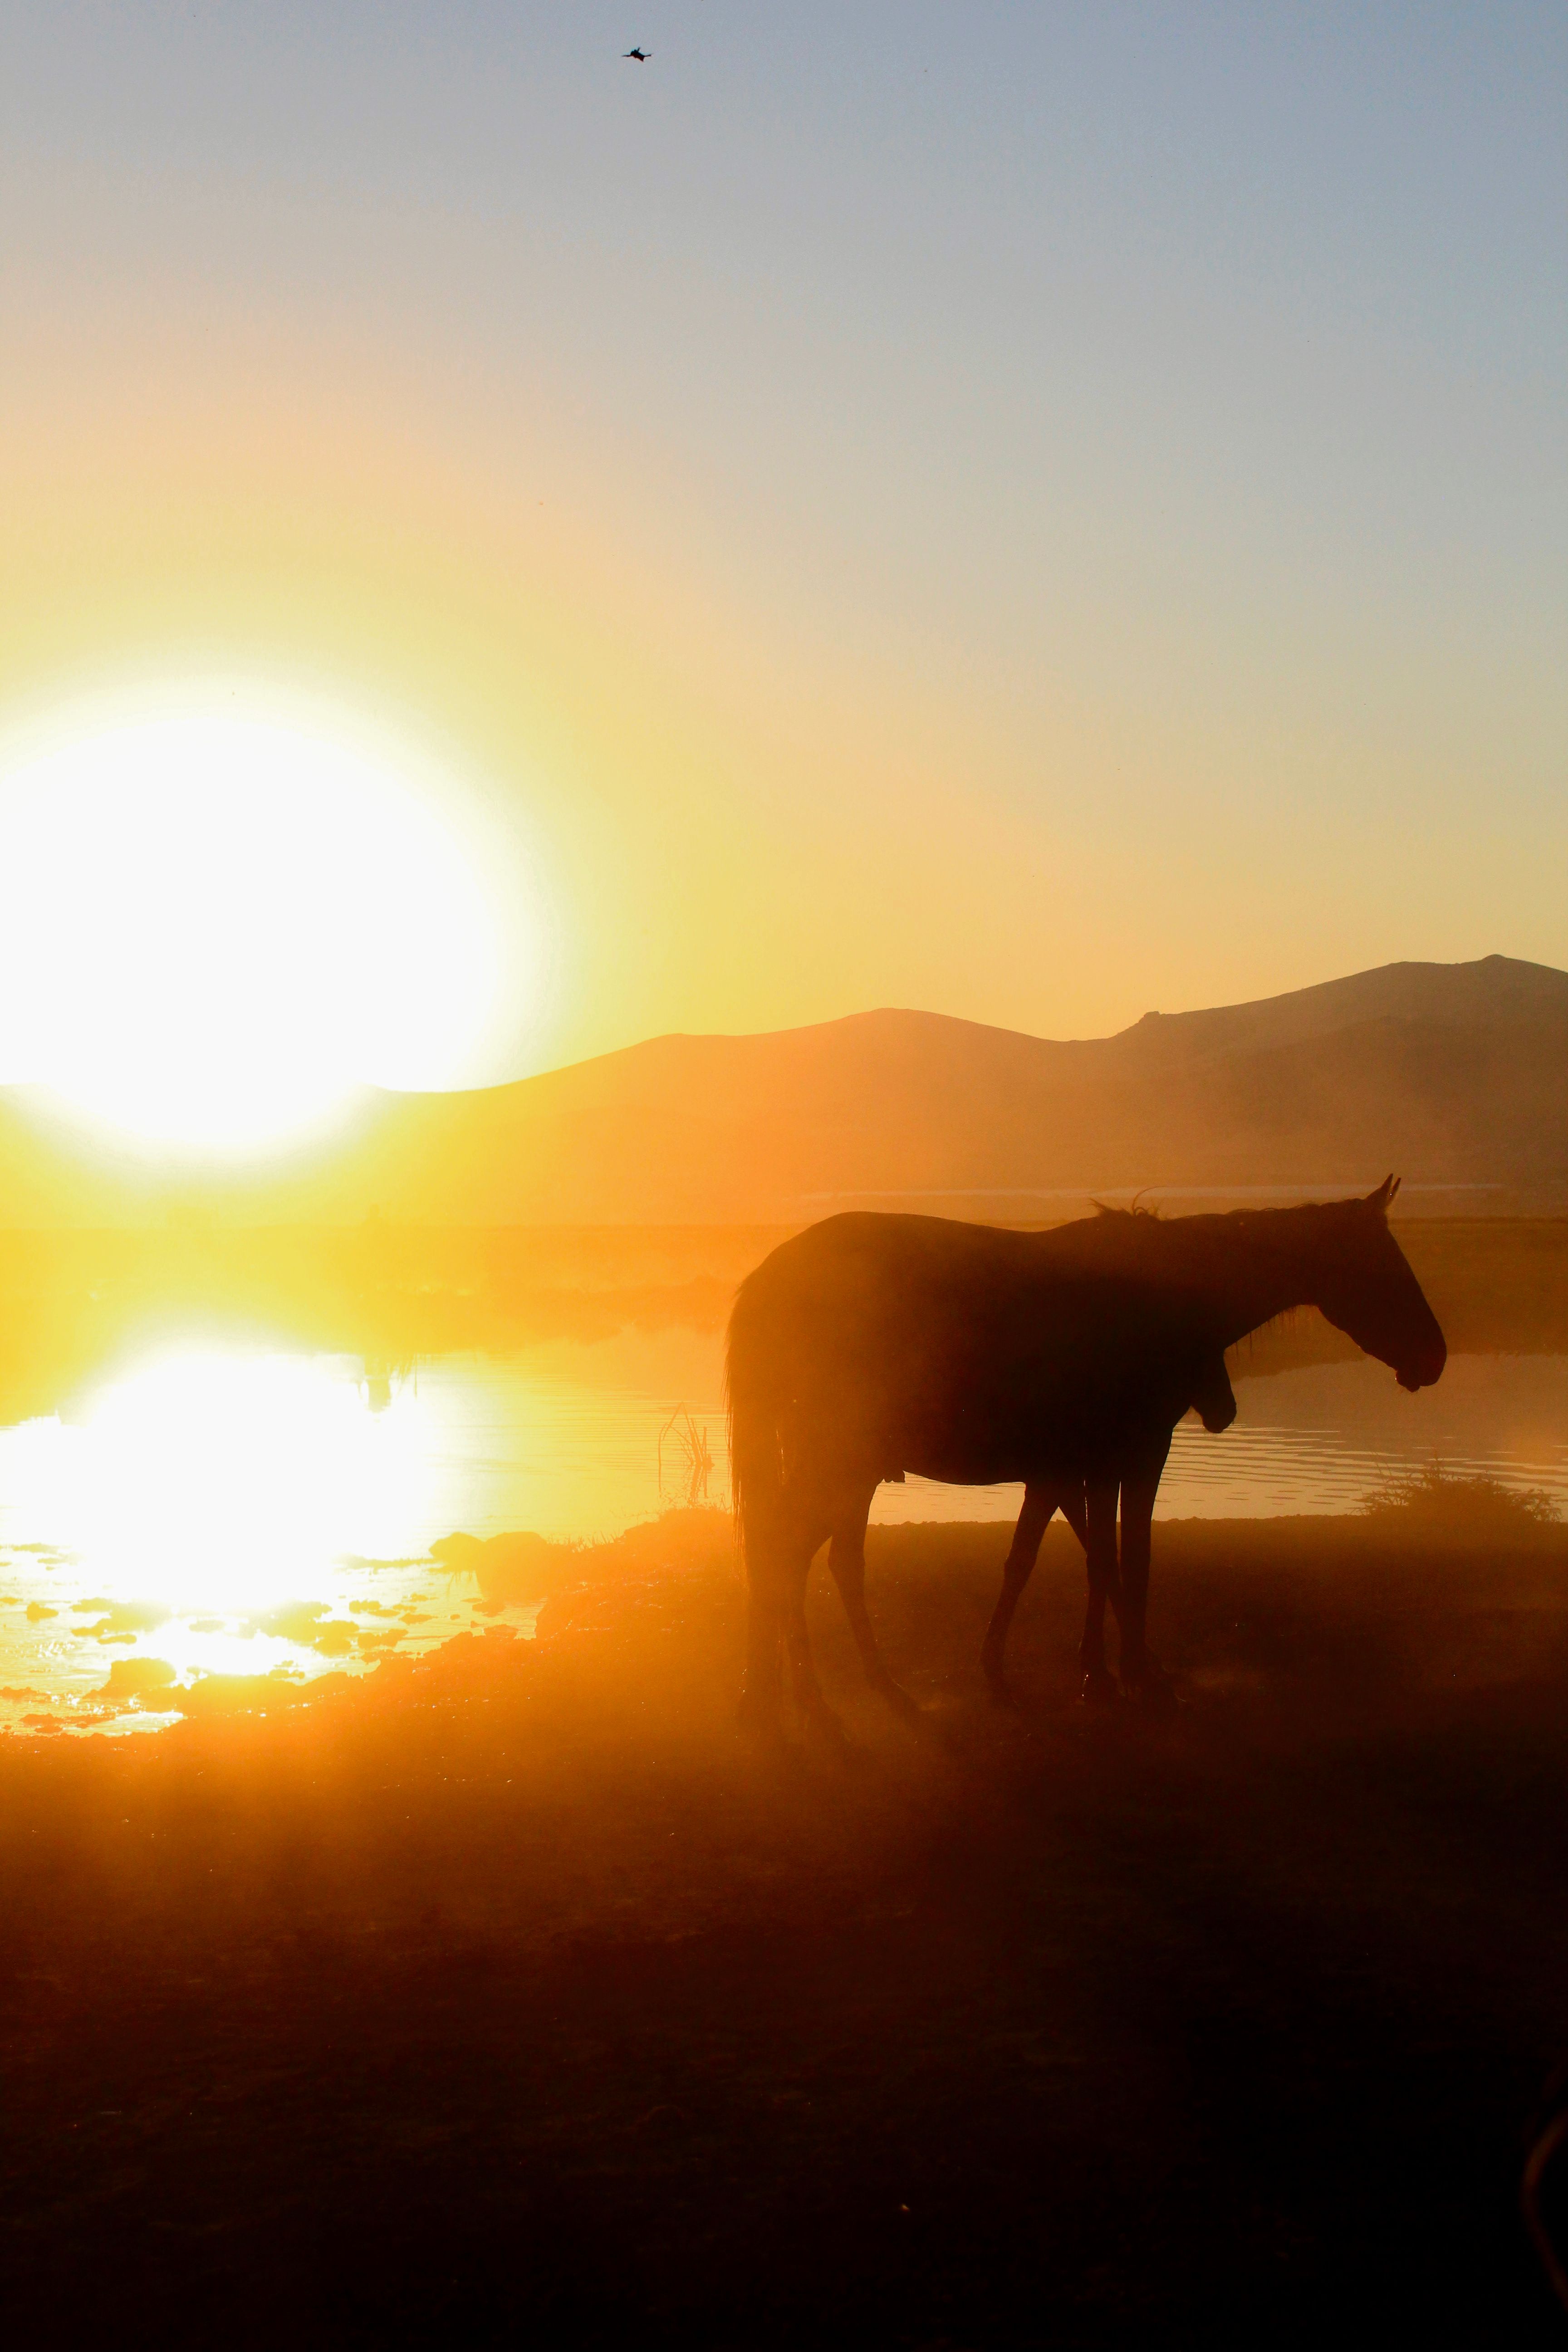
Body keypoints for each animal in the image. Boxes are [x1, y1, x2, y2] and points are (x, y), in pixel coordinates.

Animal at [725, 1178, 1445, 1738]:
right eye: (1386, 1265)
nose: (1434, 1357)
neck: (1163, 1294)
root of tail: (773, 1274)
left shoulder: (1083, 1464)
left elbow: (1076, 1557)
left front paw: (1095, 1670)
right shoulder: (1138, 1452)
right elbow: (1125, 1557)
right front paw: (1131, 1677)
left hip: (848, 1463)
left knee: (824, 1559)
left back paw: (822, 1688)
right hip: (837, 1458)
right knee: (789, 1554)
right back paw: (806, 1701)